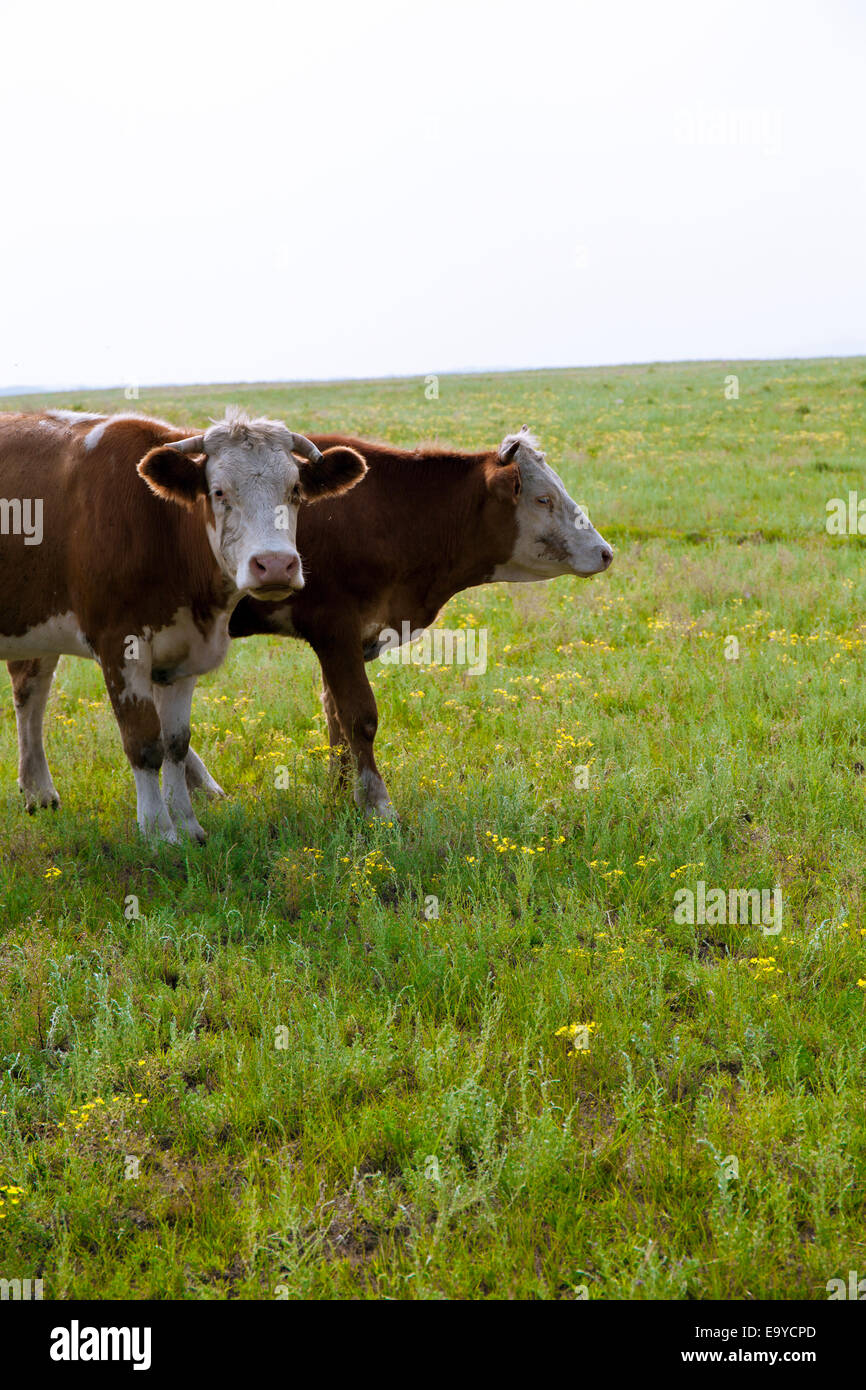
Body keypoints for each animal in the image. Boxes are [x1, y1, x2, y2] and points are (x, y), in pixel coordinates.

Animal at [0, 408, 366, 841]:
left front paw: (188, 825)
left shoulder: (182, 652)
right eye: (219, 492)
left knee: (30, 691)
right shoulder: (119, 646)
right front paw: (159, 832)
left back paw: (38, 791)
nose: (276, 565)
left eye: (294, 490)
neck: (164, 530)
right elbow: (144, 742)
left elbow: (174, 740)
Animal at [183, 426, 613, 817]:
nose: (605, 552)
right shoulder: (335, 628)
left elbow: (335, 716)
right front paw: (376, 804)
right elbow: (359, 716)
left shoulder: (348, 640)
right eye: (543, 498)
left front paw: (340, 795)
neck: (387, 515)